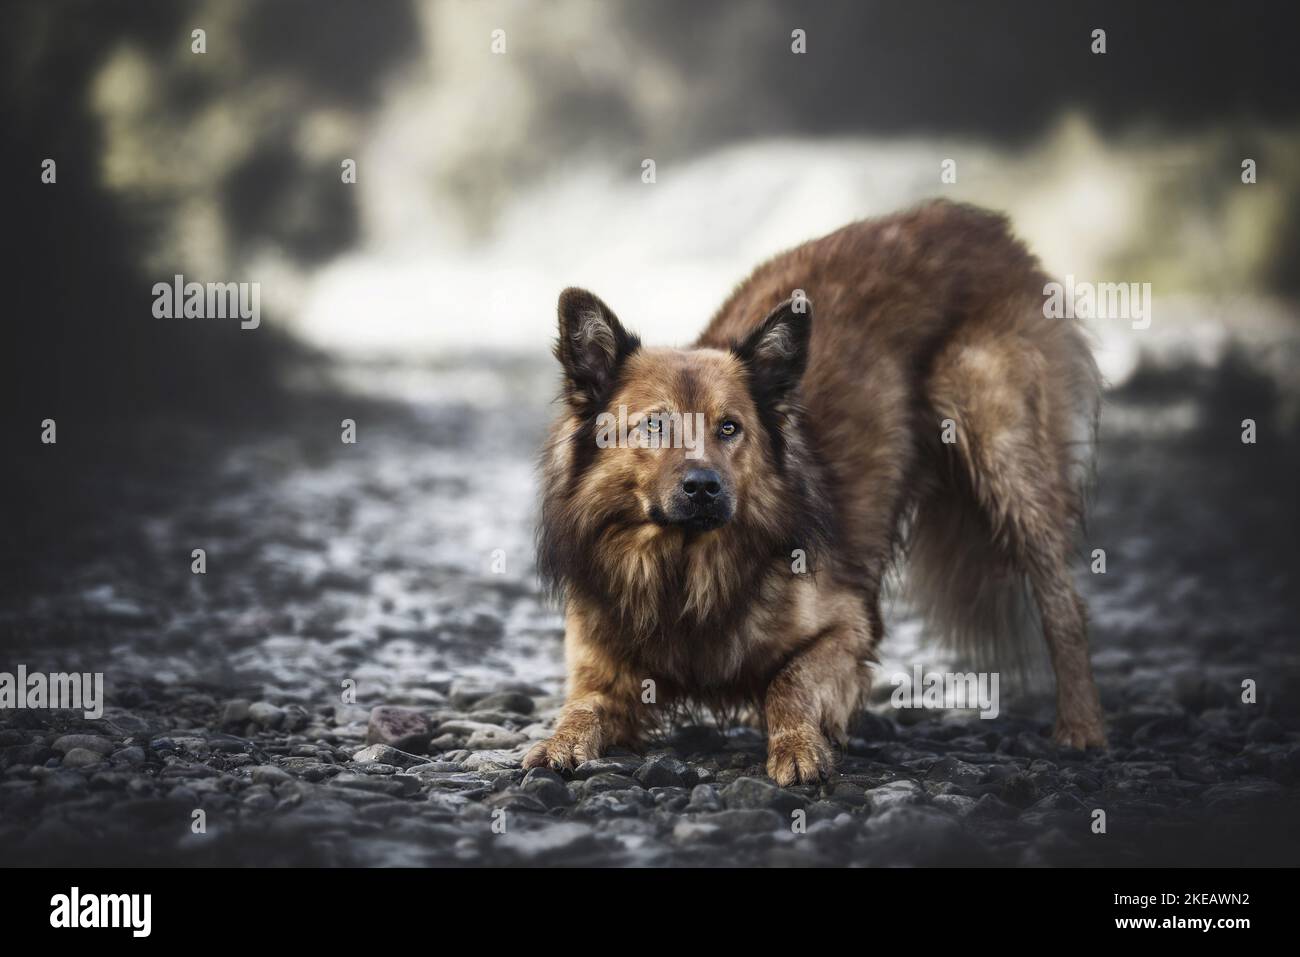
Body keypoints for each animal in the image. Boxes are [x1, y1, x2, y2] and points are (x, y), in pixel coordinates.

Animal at [527, 200, 1107, 786]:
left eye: (729, 428)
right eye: (655, 426)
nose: (704, 488)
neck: (684, 567)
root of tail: (980, 219)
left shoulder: (847, 623)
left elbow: (791, 682)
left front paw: (799, 745)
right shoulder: (601, 665)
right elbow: (580, 708)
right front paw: (557, 743)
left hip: (1006, 459)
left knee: (1063, 604)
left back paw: (1081, 726)